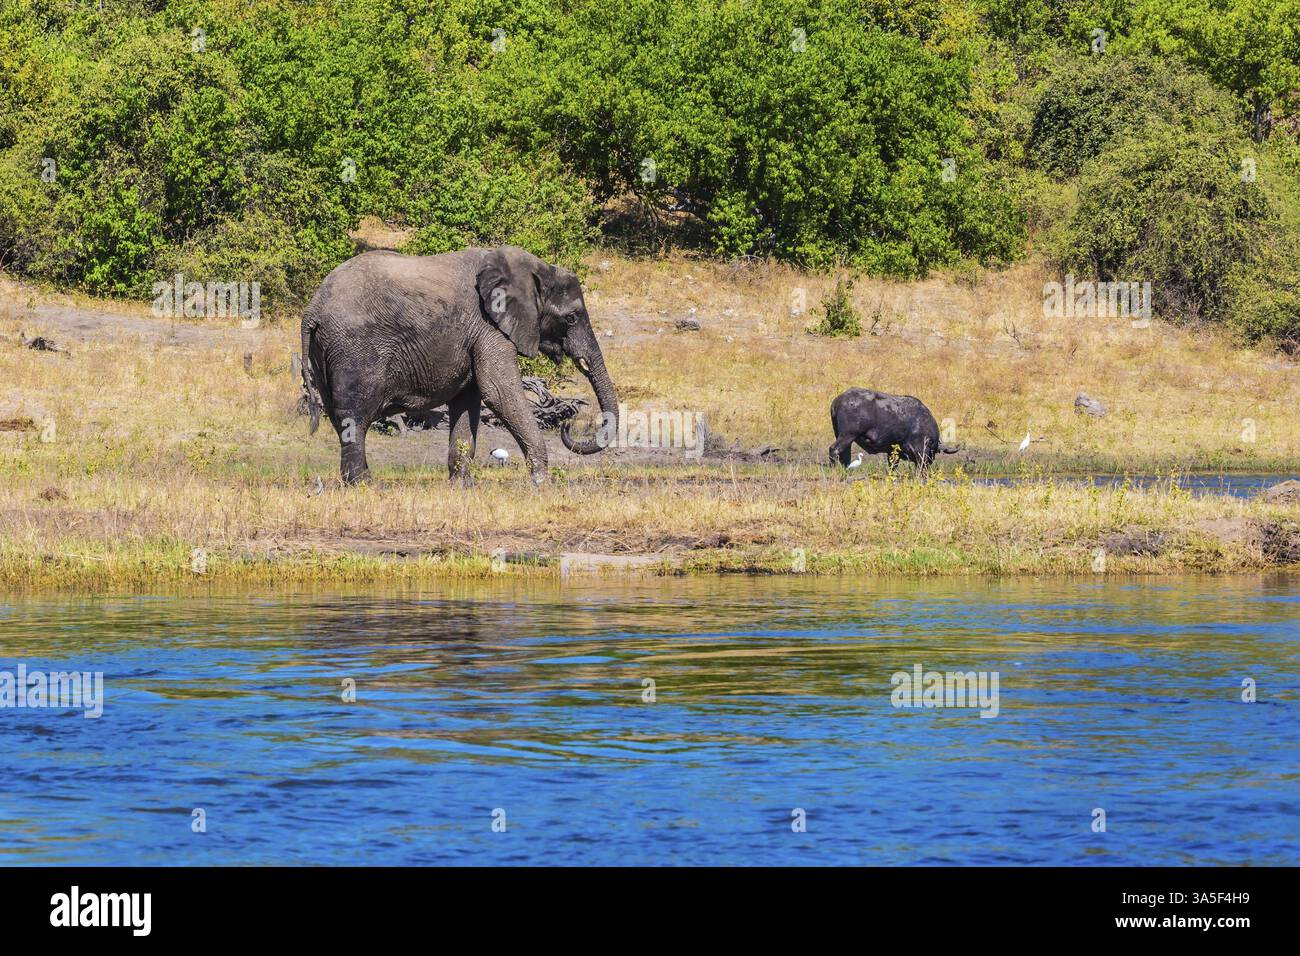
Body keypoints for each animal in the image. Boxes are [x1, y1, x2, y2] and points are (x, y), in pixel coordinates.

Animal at [300, 246, 617, 485]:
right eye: (571, 318)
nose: (567, 425)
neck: (534, 269)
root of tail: (312, 309)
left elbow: (469, 400)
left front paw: (463, 486)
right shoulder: (489, 325)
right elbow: (498, 391)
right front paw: (542, 482)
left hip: (323, 350)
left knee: (338, 416)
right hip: (354, 351)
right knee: (354, 417)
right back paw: (365, 484)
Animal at [828, 387, 962, 473]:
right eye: (932, 452)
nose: (931, 461)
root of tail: (837, 402)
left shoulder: (892, 452)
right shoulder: (921, 452)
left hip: (843, 436)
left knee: (845, 455)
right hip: (848, 435)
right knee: (834, 449)